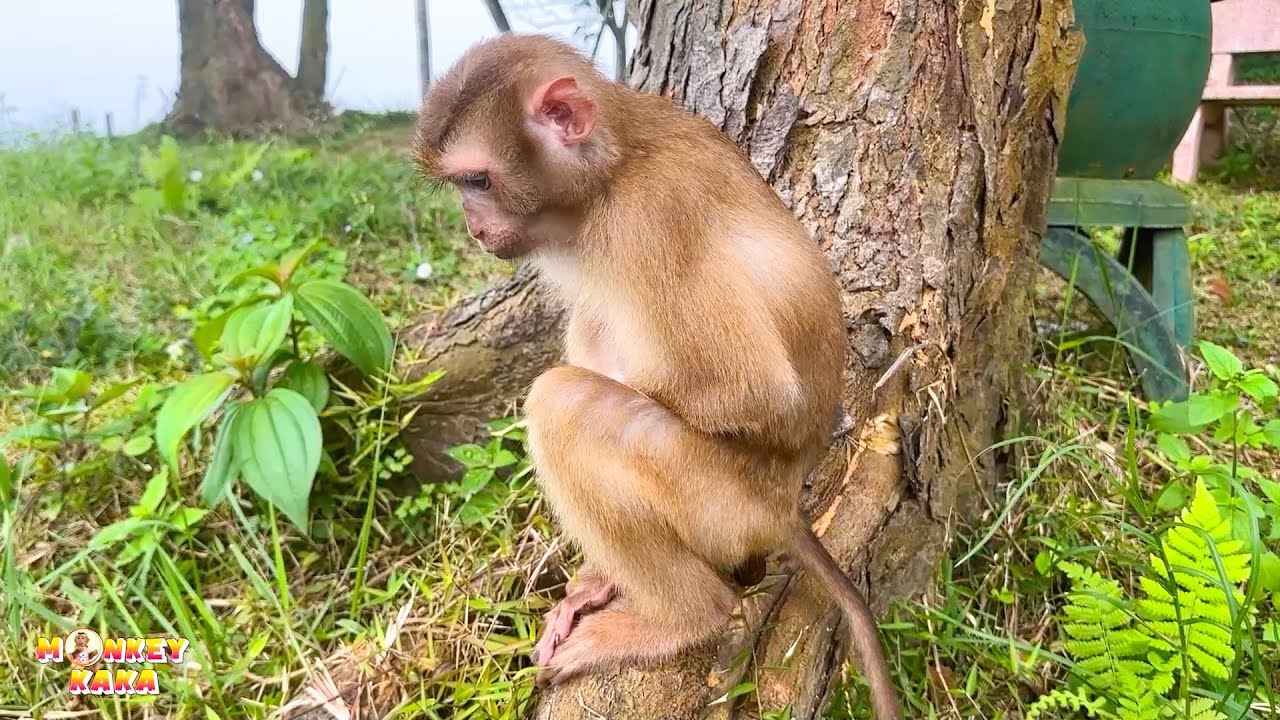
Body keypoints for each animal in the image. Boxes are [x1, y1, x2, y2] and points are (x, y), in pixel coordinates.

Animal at [413, 33, 902, 720]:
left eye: (477, 180)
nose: (473, 226)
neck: (613, 166)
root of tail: (786, 513)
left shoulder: (651, 221)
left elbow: (758, 394)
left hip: (722, 503)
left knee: (564, 402)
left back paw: (684, 618)